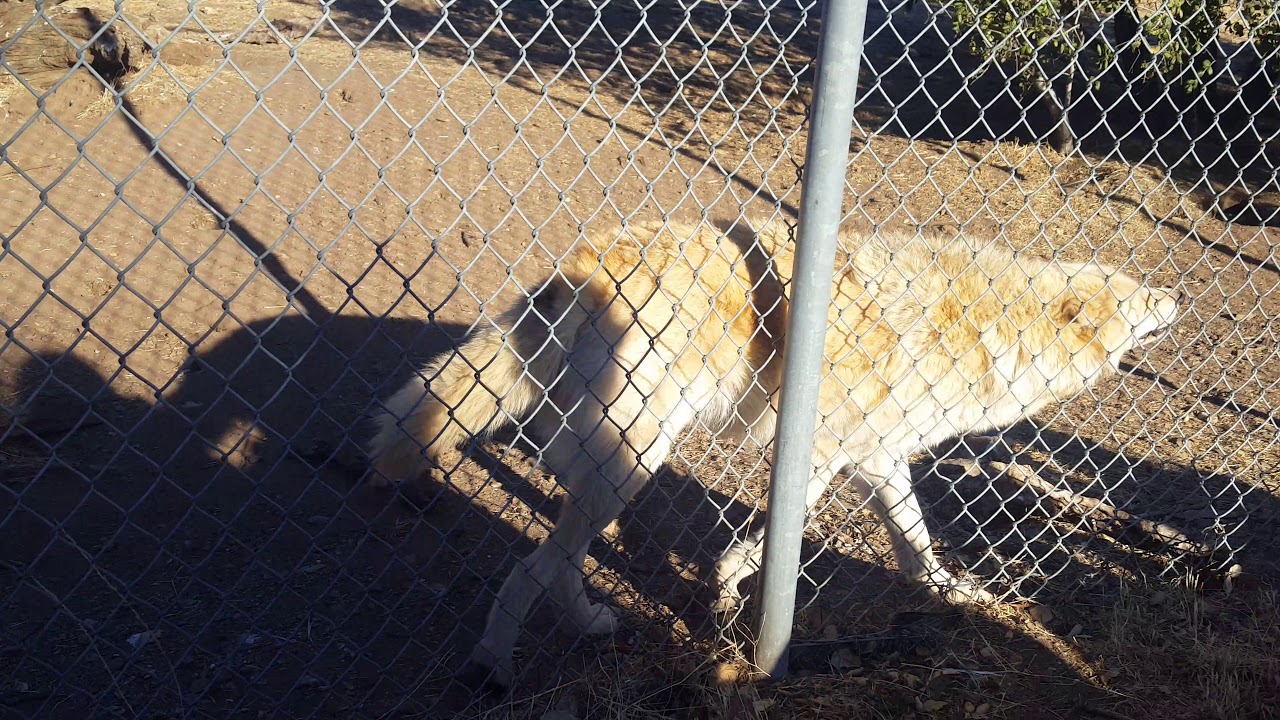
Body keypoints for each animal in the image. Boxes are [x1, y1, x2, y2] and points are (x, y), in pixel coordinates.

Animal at [365, 220, 1183, 689]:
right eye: (1145, 301)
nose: (1179, 300)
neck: (988, 329)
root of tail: (580, 267)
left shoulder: (879, 458)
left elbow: (916, 544)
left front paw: (952, 593)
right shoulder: (824, 456)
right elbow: (768, 540)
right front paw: (728, 585)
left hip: (616, 468)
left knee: (559, 558)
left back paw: (581, 626)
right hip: (631, 463)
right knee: (533, 567)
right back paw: (501, 661)